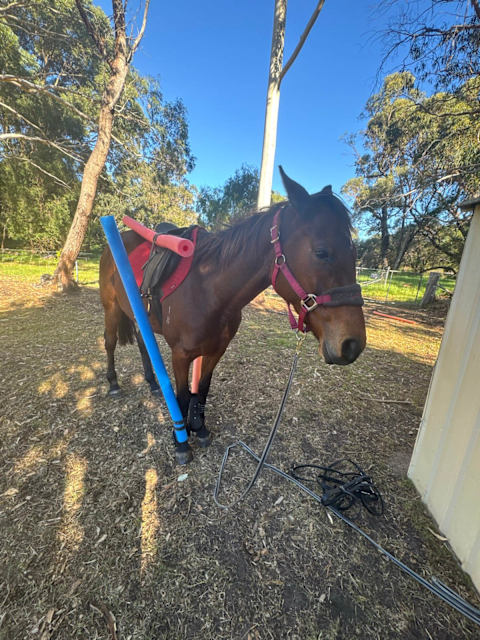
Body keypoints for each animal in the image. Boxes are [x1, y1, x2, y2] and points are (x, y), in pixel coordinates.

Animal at [99, 167, 366, 463]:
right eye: (321, 252)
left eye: (355, 253)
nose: (353, 344)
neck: (208, 288)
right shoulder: (180, 355)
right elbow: (182, 396)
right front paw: (181, 441)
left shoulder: (216, 350)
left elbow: (201, 390)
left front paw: (199, 428)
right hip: (111, 308)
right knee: (110, 342)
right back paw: (113, 383)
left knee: (142, 342)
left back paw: (151, 381)